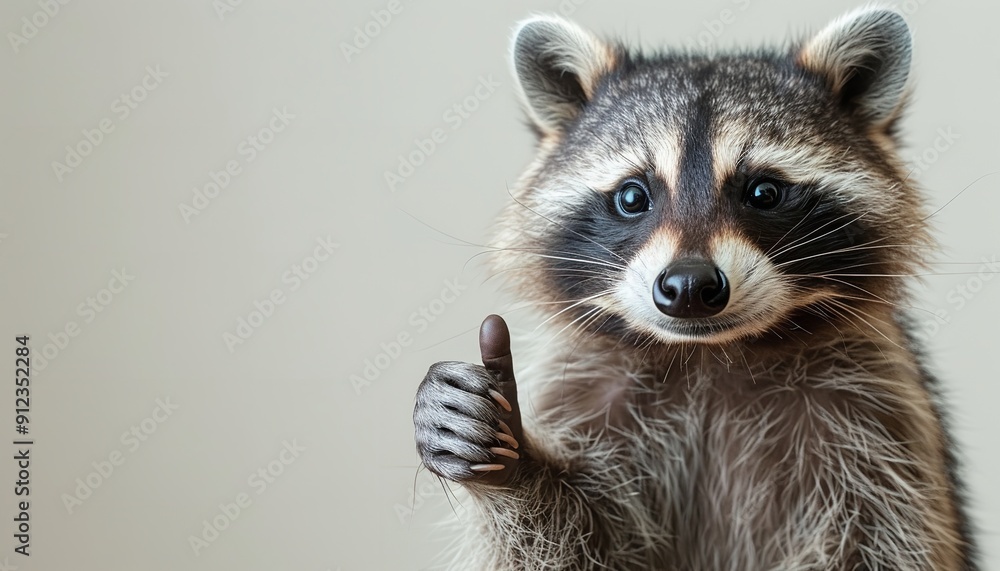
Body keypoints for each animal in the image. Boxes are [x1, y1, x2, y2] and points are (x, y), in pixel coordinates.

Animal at [412, 6, 976, 570]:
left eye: (764, 192)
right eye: (633, 196)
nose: (688, 285)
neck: (709, 355)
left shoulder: (878, 418)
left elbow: (879, 542)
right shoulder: (586, 389)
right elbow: (578, 541)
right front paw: (513, 465)